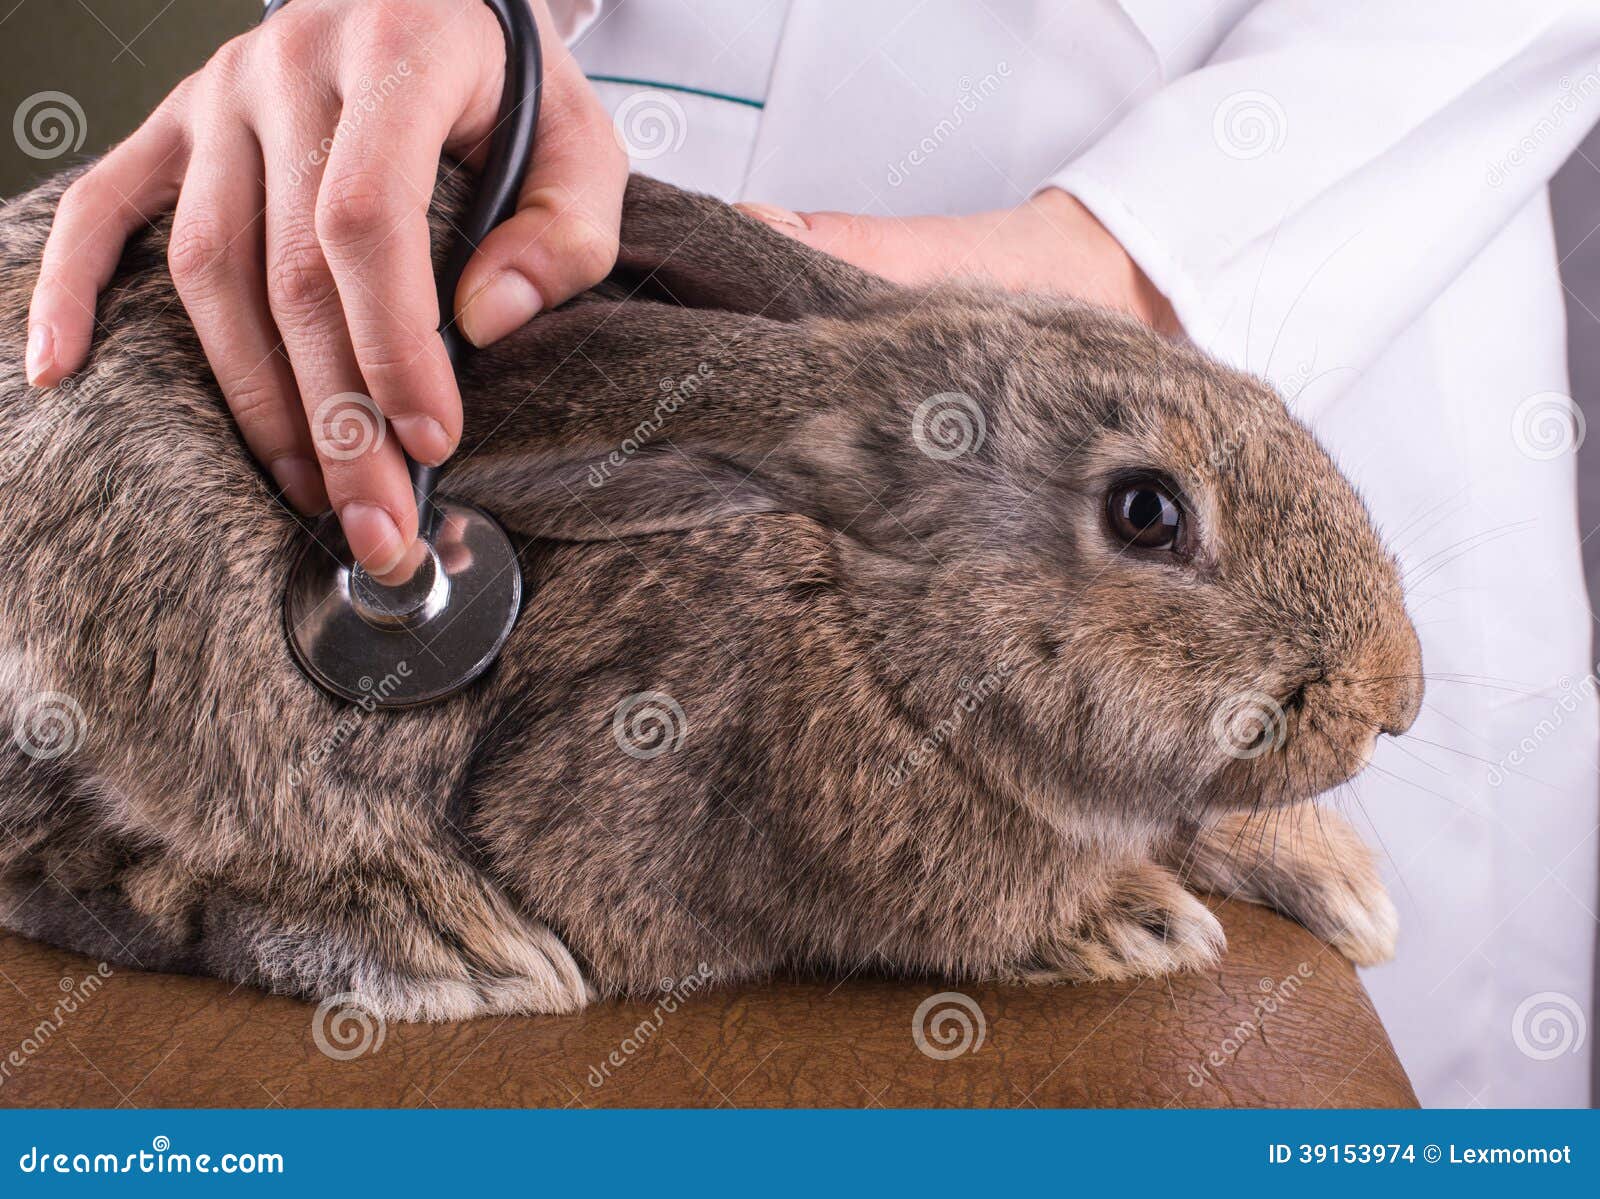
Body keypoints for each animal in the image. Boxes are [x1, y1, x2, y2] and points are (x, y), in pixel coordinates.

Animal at [0, 160, 1422, 1021]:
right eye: (1147, 512)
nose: (1393, 699)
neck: (873, 627)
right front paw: (1130, 919)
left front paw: (1338, 881)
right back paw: (449, 946)